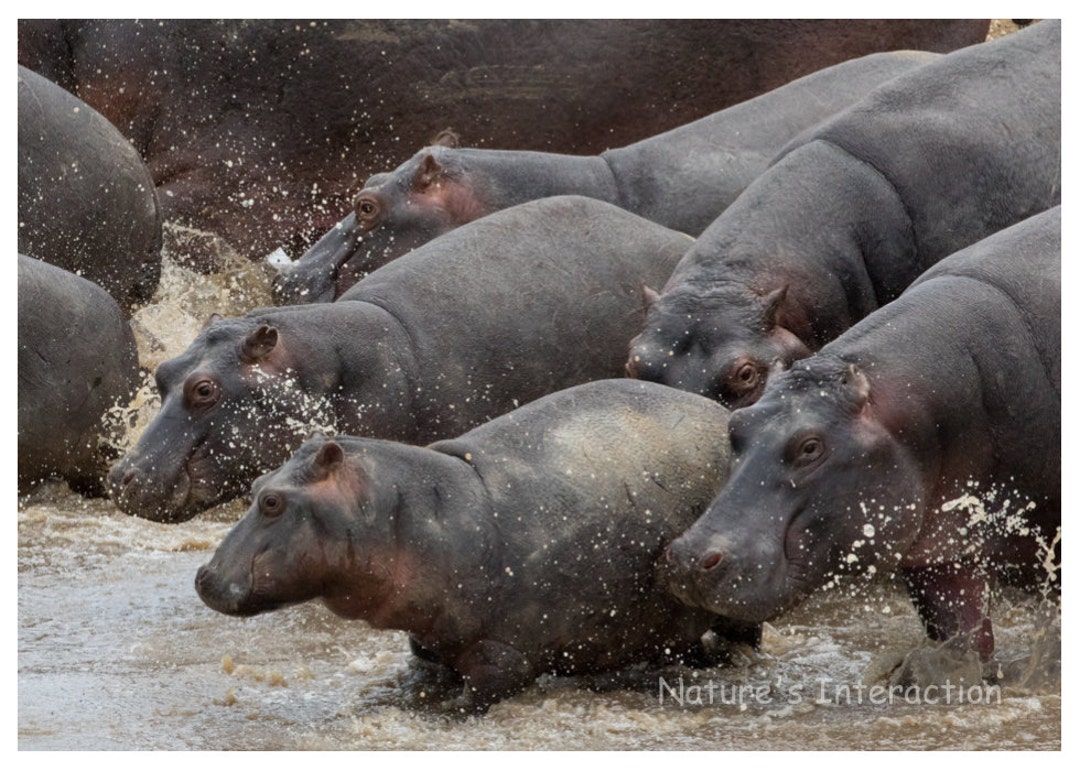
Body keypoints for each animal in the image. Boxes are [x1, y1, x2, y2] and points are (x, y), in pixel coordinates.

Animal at [195, 379, 757, 711]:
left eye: (272, 501)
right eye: (255, 484)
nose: (202, 576)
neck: (412, 510)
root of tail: (721, 414)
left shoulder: (501, 656)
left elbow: (474, 697)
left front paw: (445, 710)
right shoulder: (428, 639)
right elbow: (424, 670)